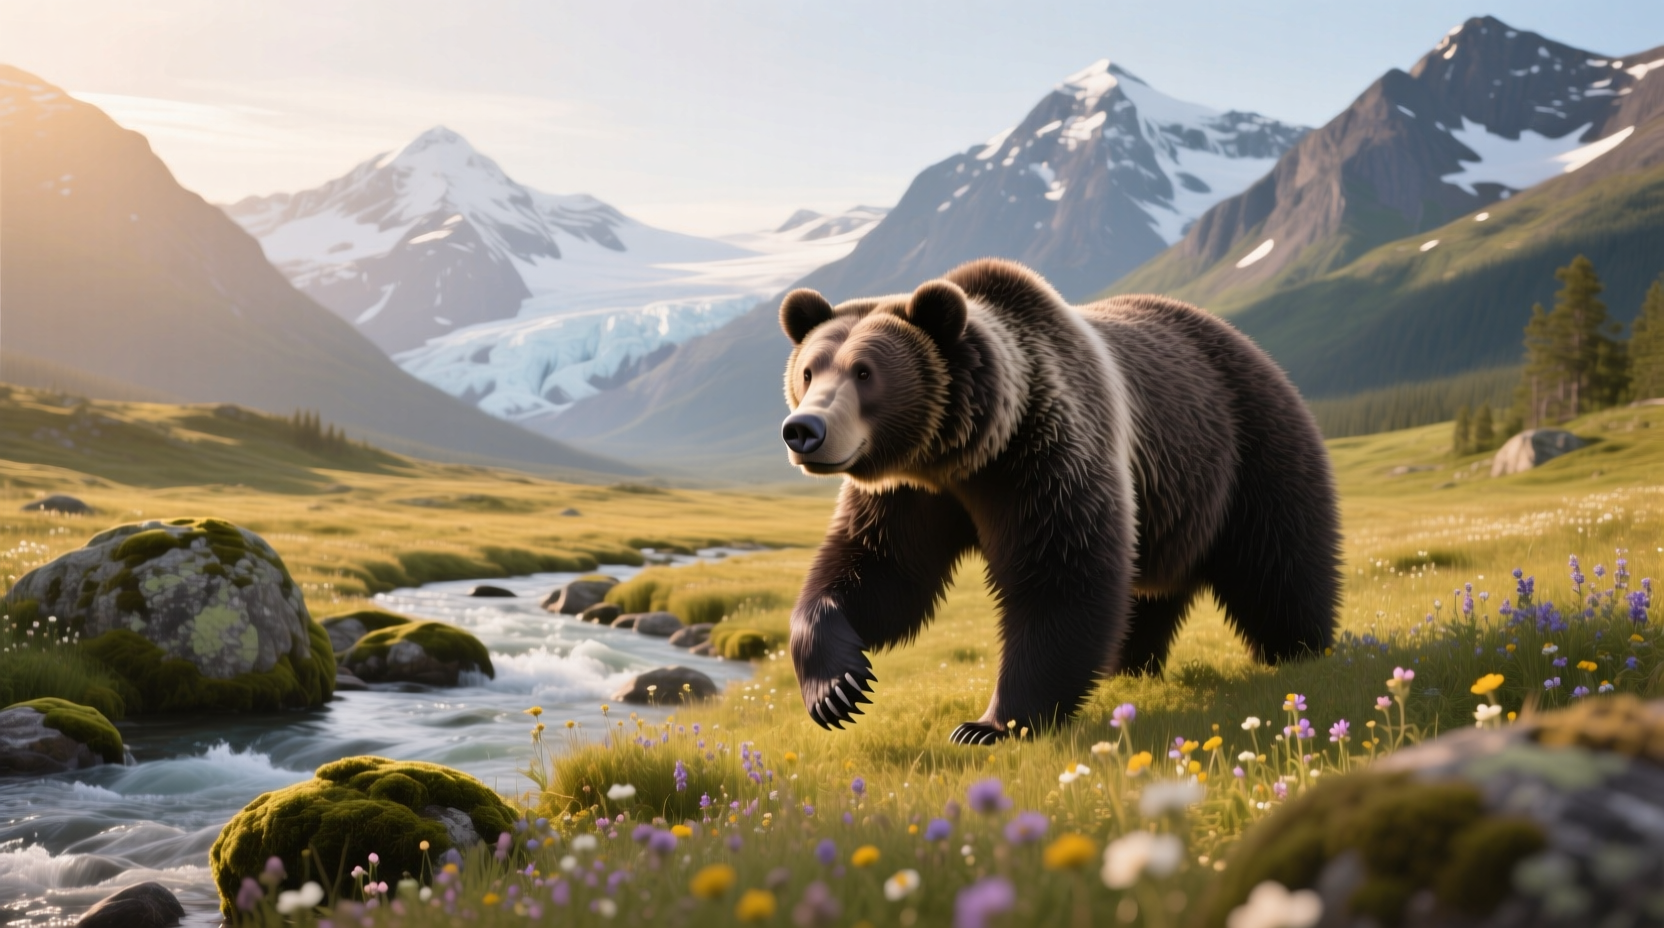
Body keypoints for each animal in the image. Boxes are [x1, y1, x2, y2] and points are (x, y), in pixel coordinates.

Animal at [778, 258, 1341, 744]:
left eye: (864, 371)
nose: (803, 429)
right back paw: (1128, 666)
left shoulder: (1044, 457)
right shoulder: (912, 494)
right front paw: (838, 689)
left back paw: (1300, 650)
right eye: (808, 371)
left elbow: (1060, 577)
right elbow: (879, 571)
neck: (965, 455)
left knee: (1279, 560)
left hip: (1248, 447)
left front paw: (989, 724)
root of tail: (1250, 345)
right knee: (1146, 593)